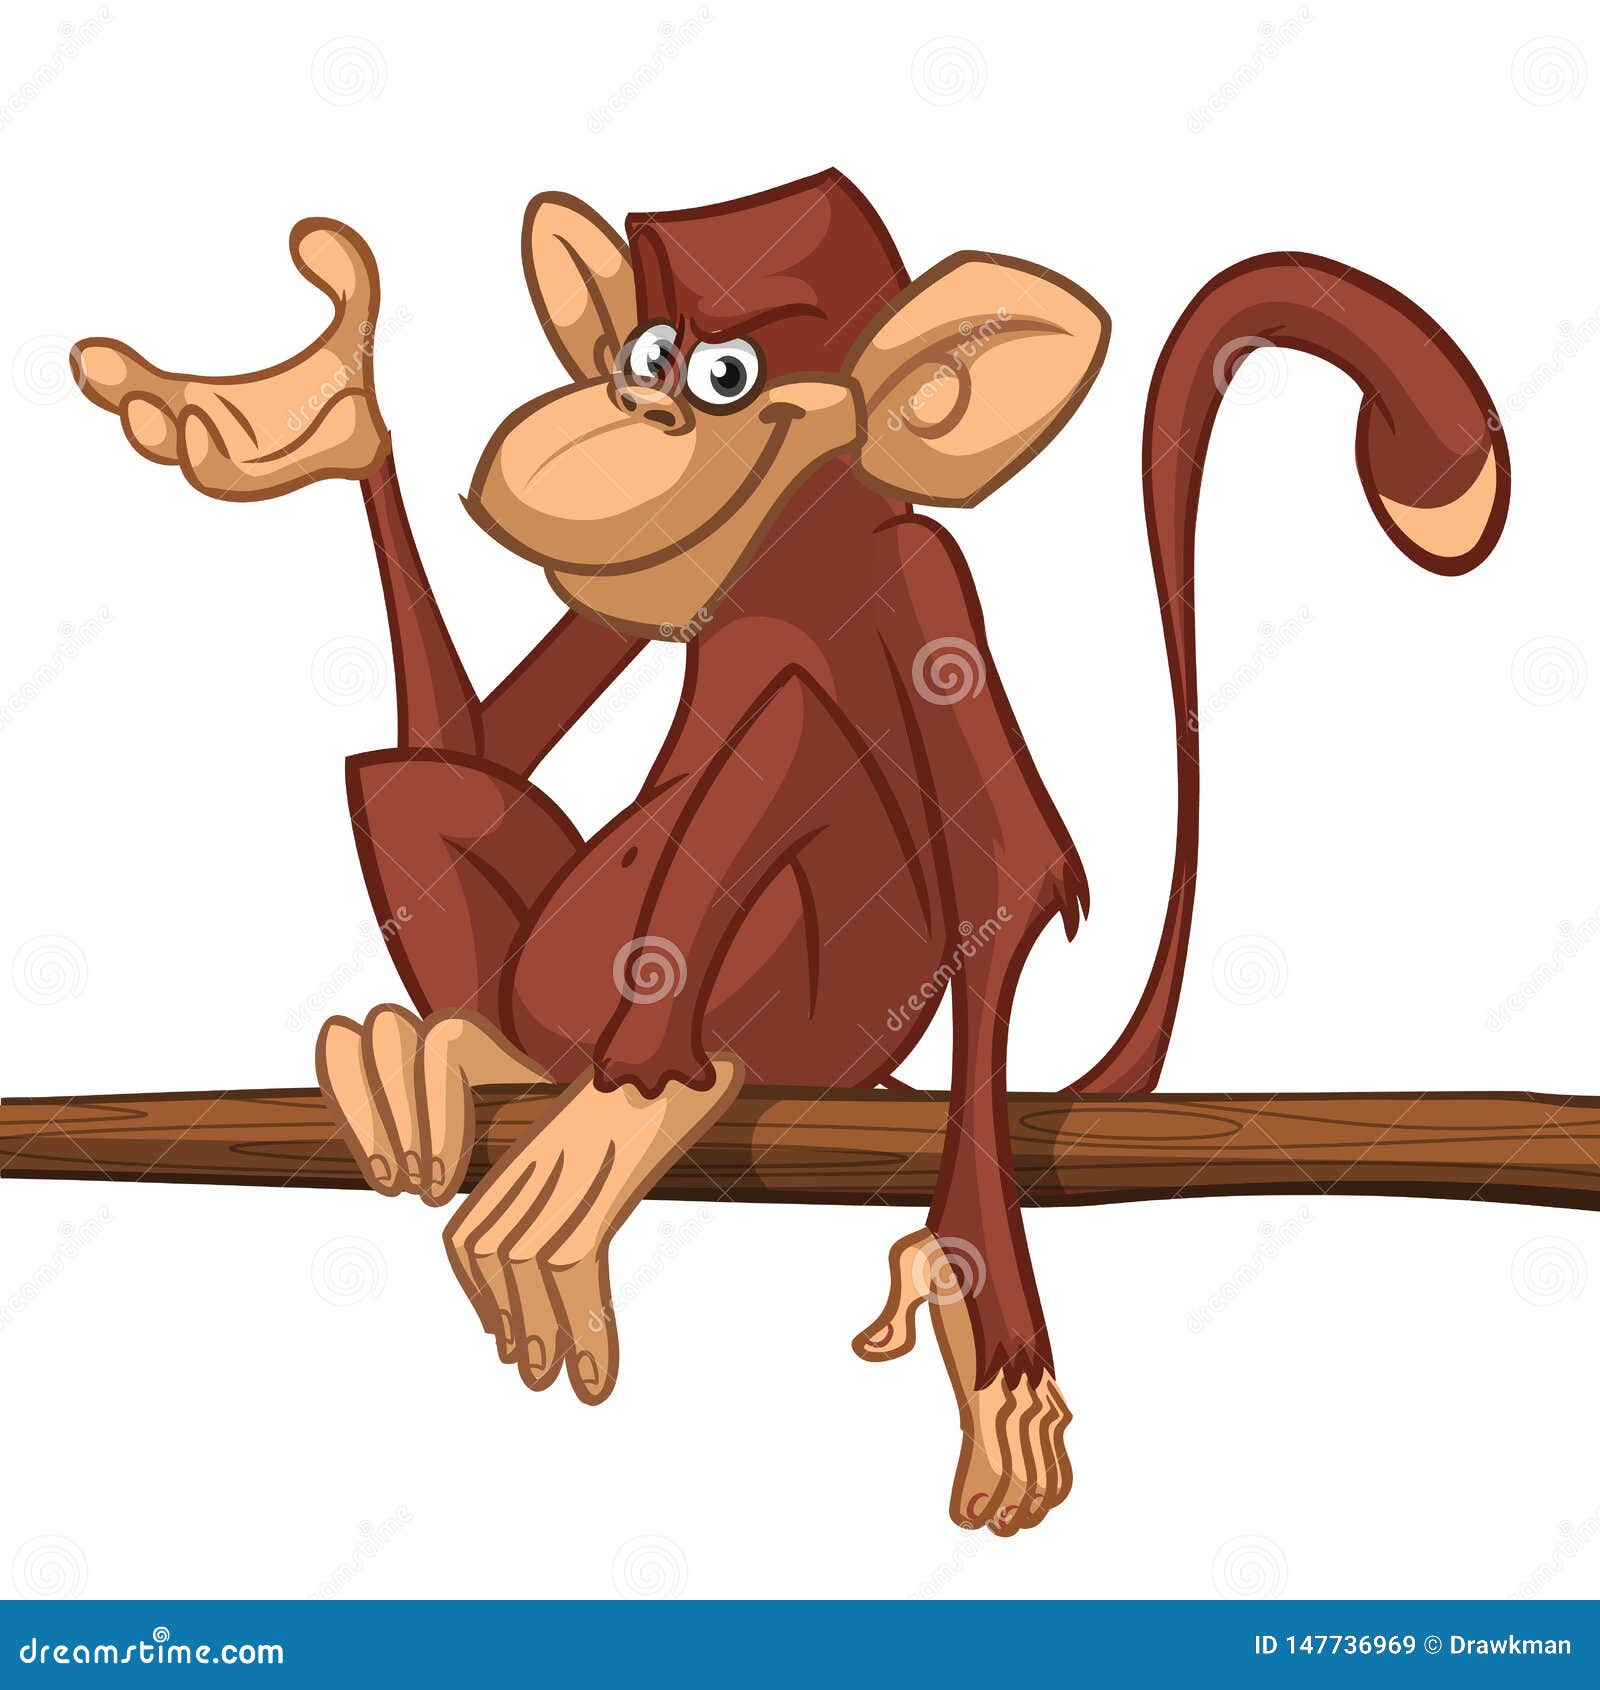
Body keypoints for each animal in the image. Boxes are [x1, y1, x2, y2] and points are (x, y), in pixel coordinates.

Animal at [72, 169, 1507, 1535]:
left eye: (723, 378)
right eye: (640, 354)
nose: (621, 414)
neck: (790, 561)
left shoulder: (926, 570)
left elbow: (1005, 866)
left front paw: (976, 1298)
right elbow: (492, 736)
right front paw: (331, 409)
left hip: (815, 1011)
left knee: (796, 733)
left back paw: (649, 1087)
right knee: (412, 782)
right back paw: (463, 1055)